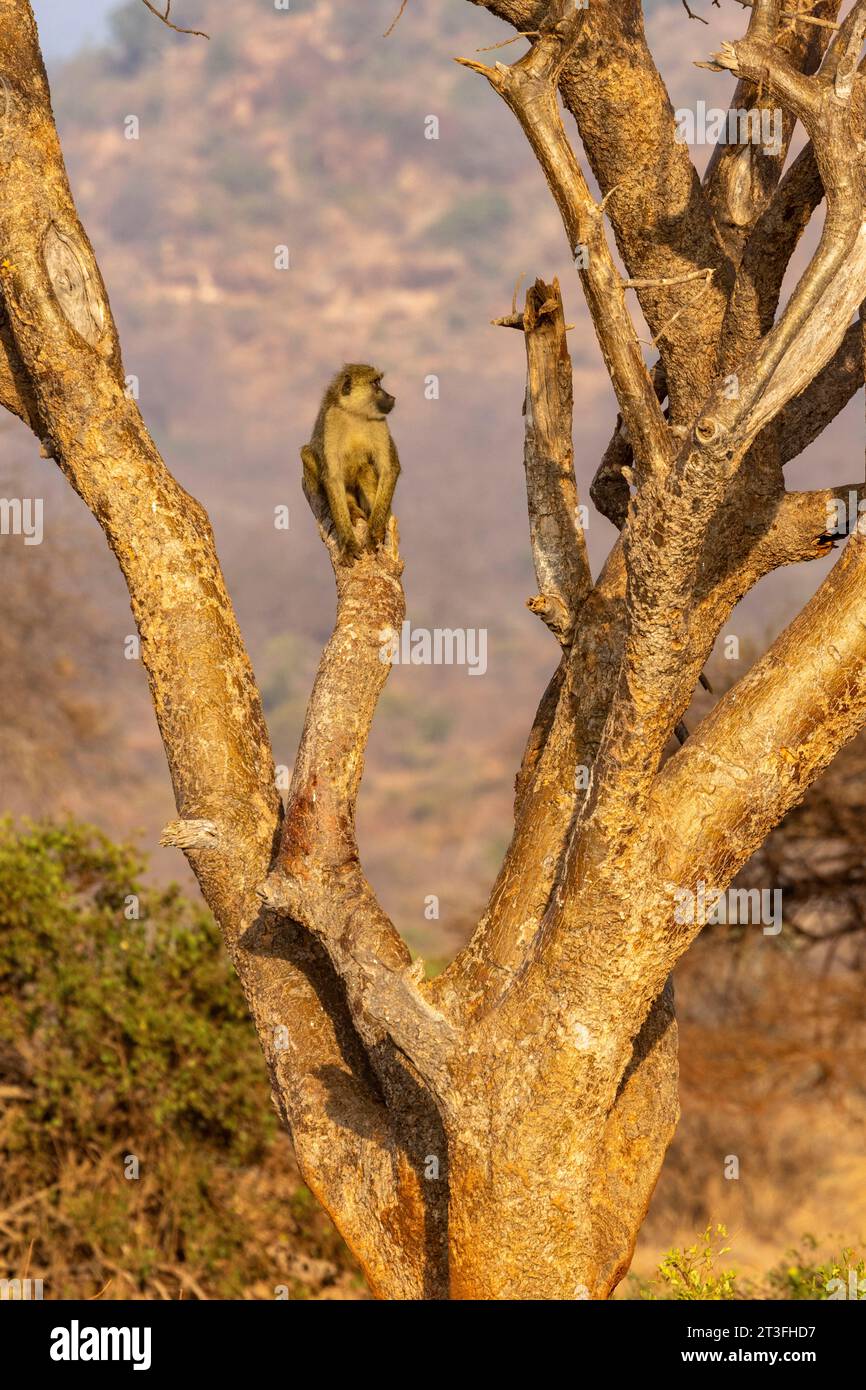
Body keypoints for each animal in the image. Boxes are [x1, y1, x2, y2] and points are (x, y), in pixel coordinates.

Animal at [300, 364, 401, 560]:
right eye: (375, 383)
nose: (391, 397)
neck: (355, 414)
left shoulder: (380, 422)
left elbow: (389, 469)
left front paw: (373, 535)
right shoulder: (332, 420)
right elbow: (332, 478)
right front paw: (348, 544)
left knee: (365, 469)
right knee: (306, 453)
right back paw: (352, 509)